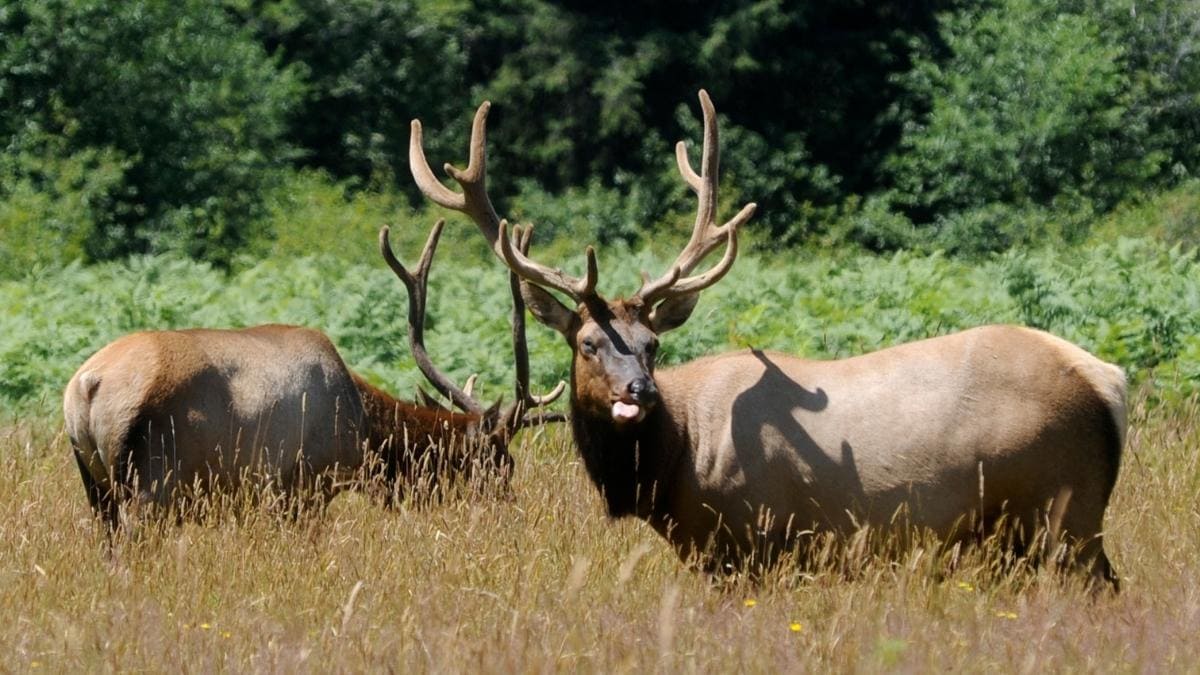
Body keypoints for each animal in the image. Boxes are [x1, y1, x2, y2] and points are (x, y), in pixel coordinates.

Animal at [62, 220, 564, 530]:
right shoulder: (303, 488)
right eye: (498, 464)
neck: (364, 434)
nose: (512, 510)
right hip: (149, 485)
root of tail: (88, 386)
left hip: (98, 490)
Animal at [408, 90, 1128, 590]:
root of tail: (1108, 381)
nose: (638, 392)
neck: (673, 462)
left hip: (1060, 509)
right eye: (588, 343)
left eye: (652, 344)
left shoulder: (748, 542)